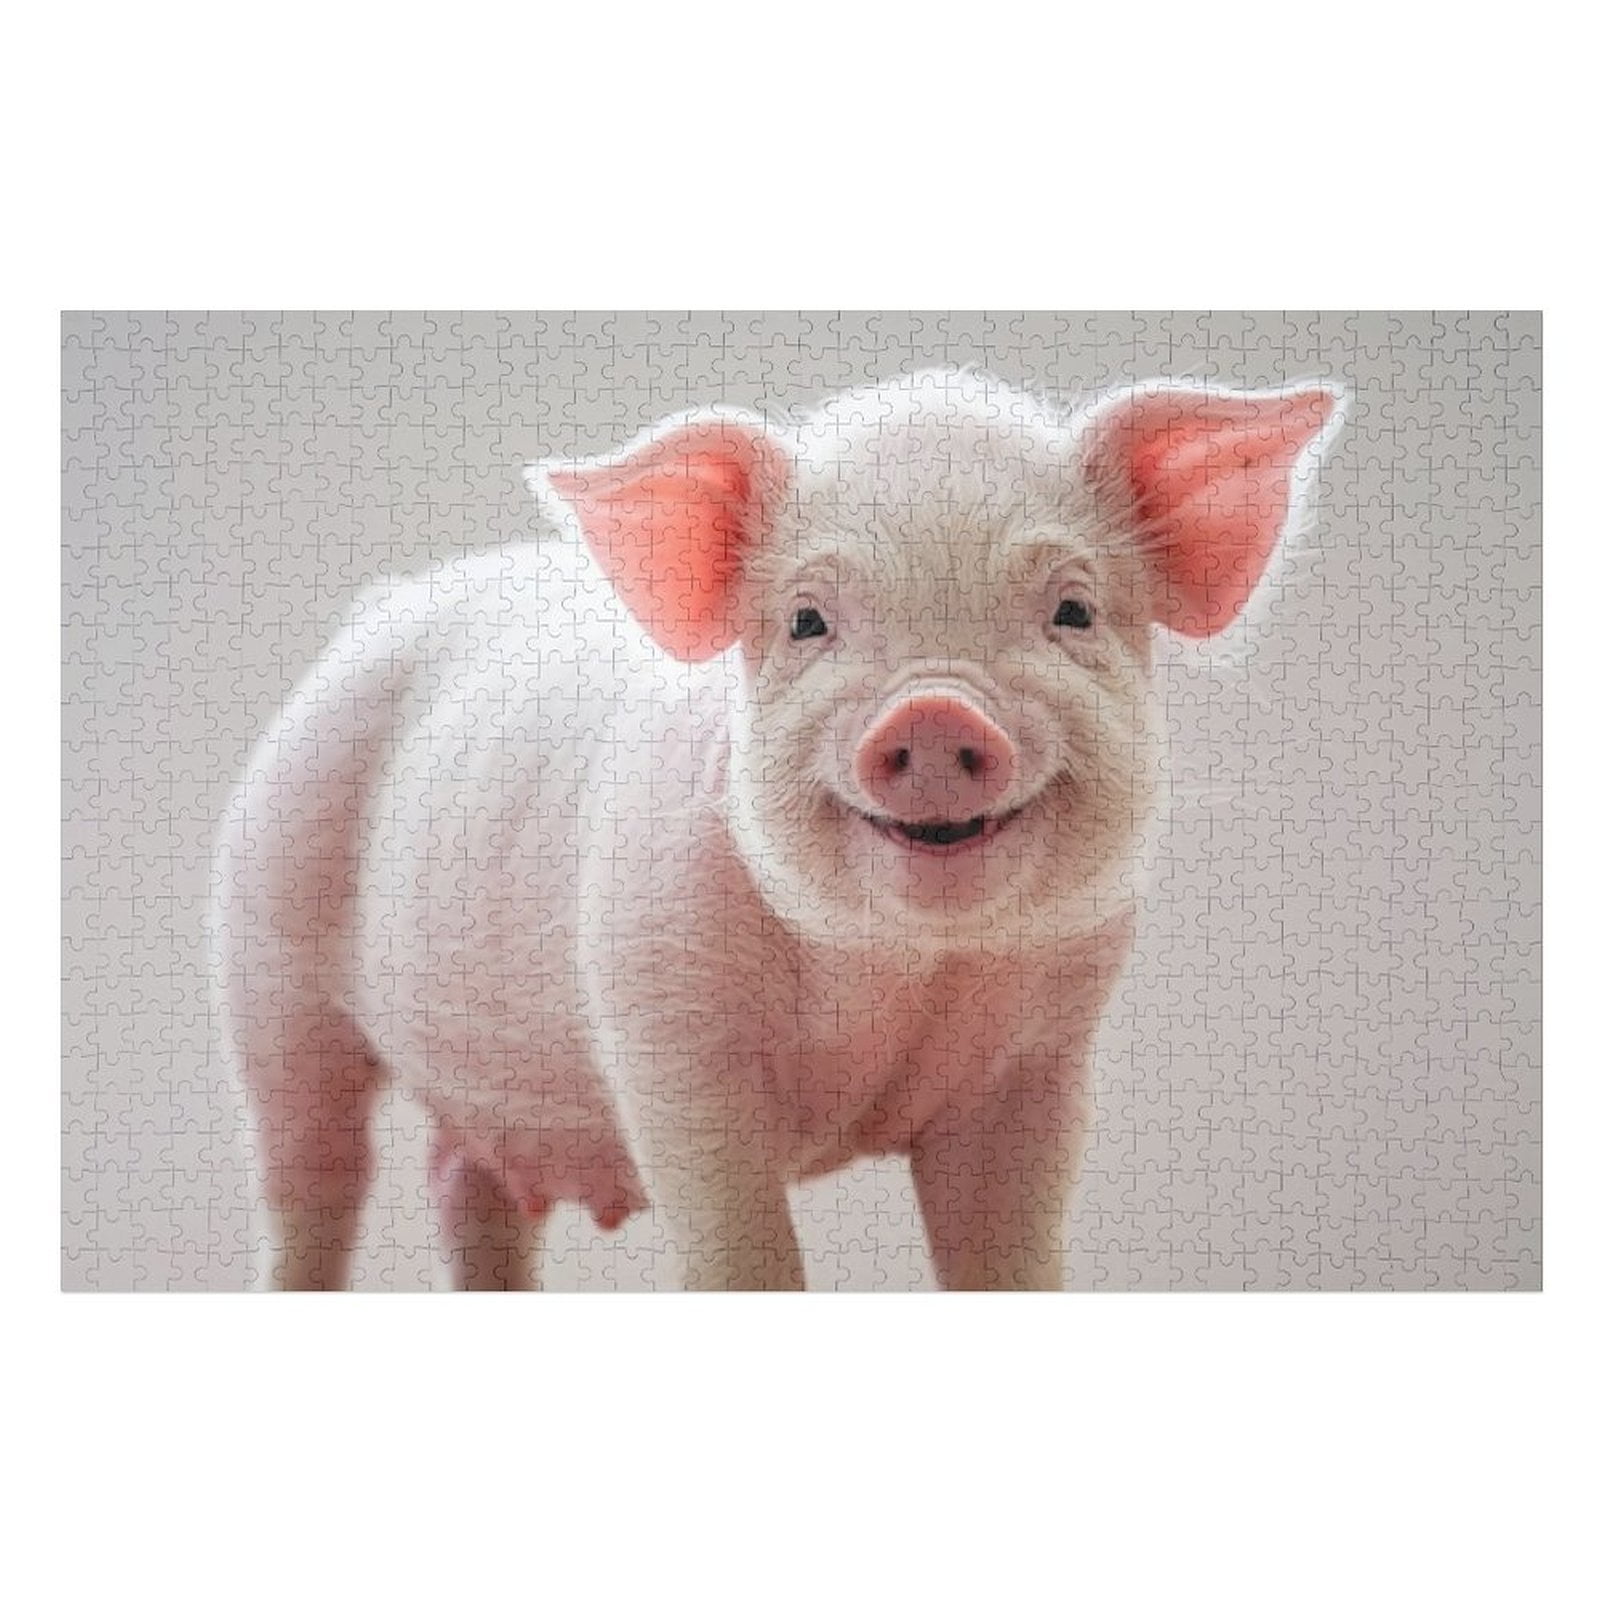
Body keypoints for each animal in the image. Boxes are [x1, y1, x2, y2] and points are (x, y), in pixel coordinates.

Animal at [212, 368, 1341, 1290]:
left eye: (1072, 611)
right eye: (808, 621)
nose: (934, 712)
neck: (897, 980)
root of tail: (382, 608)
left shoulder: (1041, 1059)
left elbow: (1007, 1254)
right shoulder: (665, 1024)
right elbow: (741, 1249)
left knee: (463, 1180)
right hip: (271, 953)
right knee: (313, 1178)